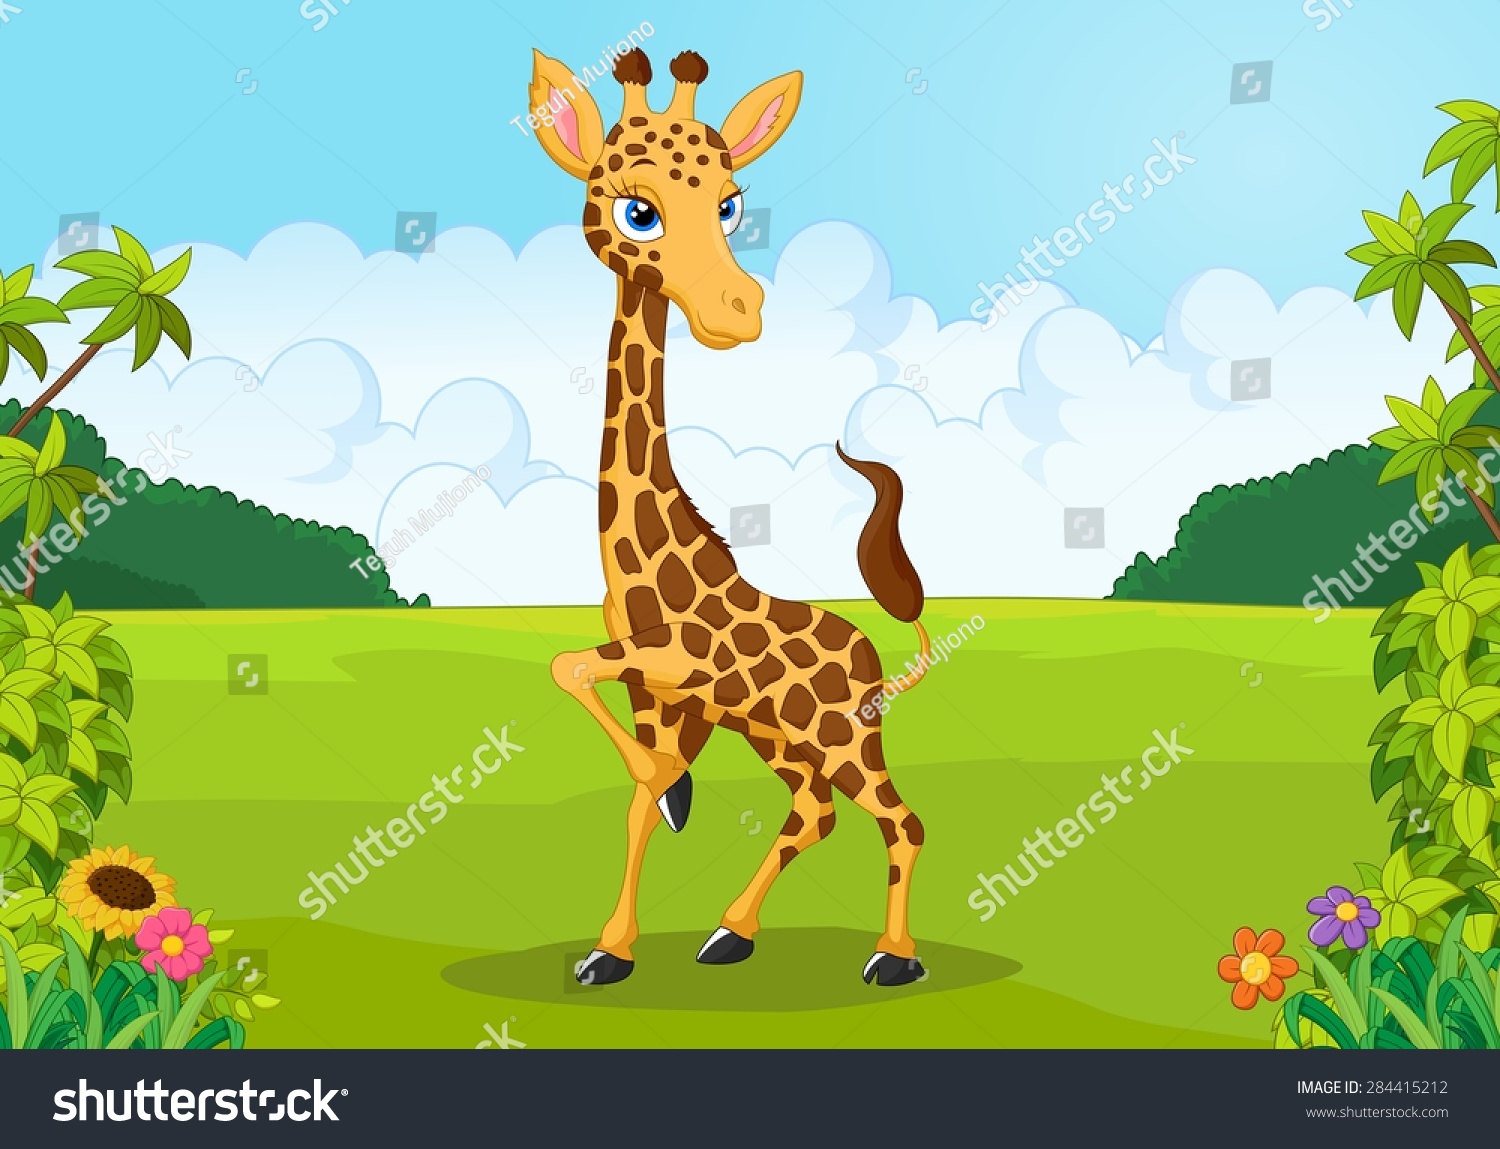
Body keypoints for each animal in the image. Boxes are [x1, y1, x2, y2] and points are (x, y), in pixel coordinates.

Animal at [529, 46, 933, 987]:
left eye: (730, 202)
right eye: (636, 210)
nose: (735, 312)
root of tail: (877, 659)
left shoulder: (677, 667)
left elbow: (577, 675)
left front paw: (675, 796)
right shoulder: (655, 691)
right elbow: (632, 783)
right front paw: (608, 950)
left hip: (842, 738)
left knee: (899, 820)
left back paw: (893, 958)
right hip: (788, 738)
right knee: (816, 811)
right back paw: (729, 933)